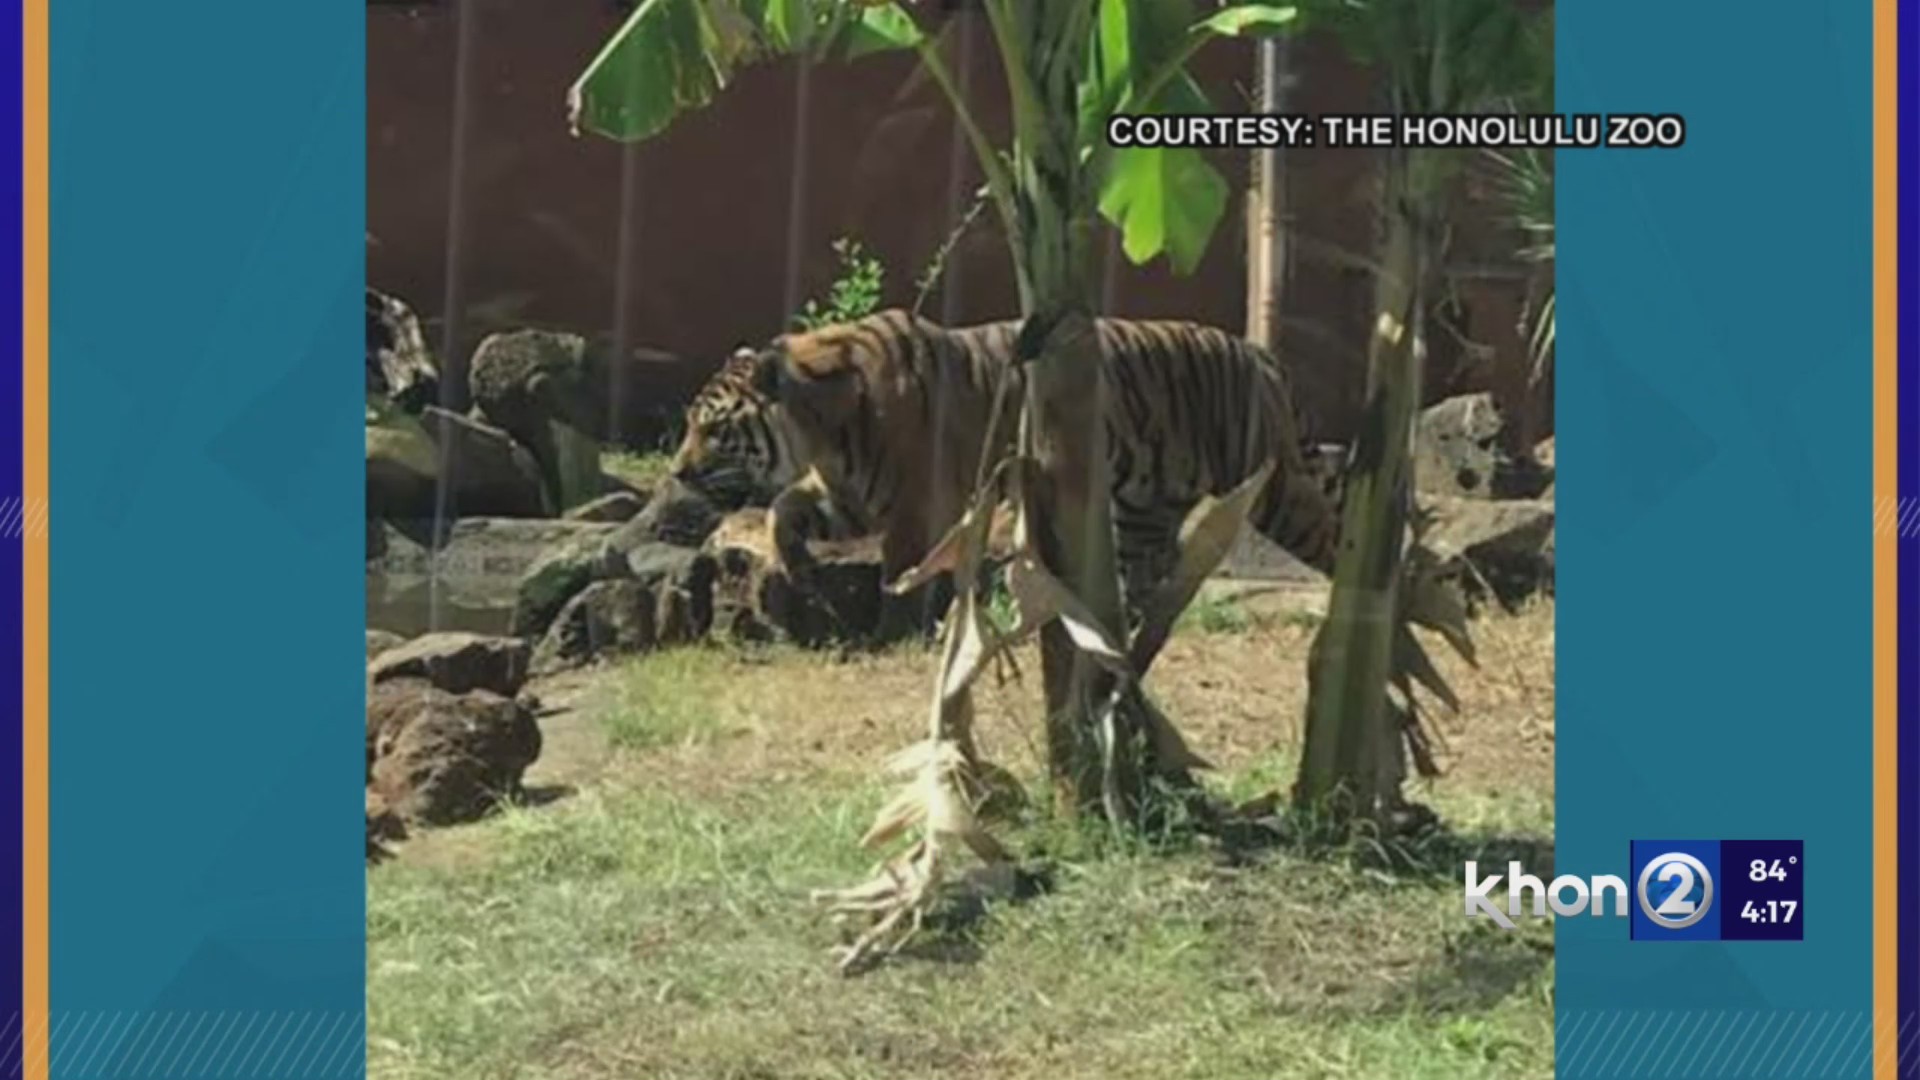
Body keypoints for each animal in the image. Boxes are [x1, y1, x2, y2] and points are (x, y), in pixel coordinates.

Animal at [668, 308, 1347, 627]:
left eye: (712, 429)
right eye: (689, 424)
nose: (676, 473)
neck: (818, 427)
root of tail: (1259, 352)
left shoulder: (918, 503)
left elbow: (902, 571)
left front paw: (893, 628)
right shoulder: (850, 494)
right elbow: (785, 507)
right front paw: (797, 565)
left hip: (1275, 488)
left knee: (1338, 539)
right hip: (1144, 509)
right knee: (1147, 578)